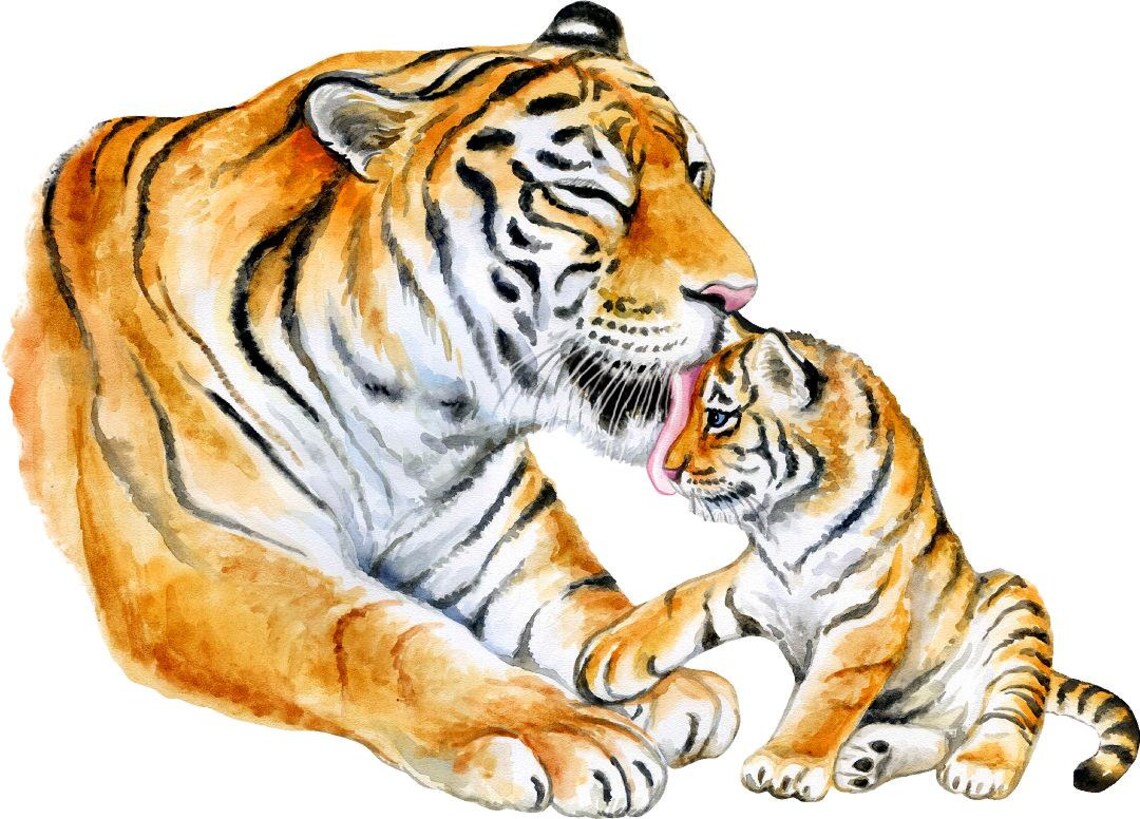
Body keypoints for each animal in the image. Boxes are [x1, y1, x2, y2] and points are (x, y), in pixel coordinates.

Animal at [6, 3, 760, 815]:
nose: (737, 294)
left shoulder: (503, 546)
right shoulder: (197, 551)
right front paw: (561, 730)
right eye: (588, 190)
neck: (414, 415)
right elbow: (382, 637)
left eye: (698, 176)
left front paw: (654, 673)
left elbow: (587, 599)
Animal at [576, 328, 1138, 801]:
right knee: (942, 733)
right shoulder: (750, 583)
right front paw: (606, 657)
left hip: (1016, 610)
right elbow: (681, 598)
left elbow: (824, 698)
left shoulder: (867, 620)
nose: (668, 470)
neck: (785, 521)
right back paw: (869, 759)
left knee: (1010, 718)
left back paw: (979, 769)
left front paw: (785, 765)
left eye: (718, 417)